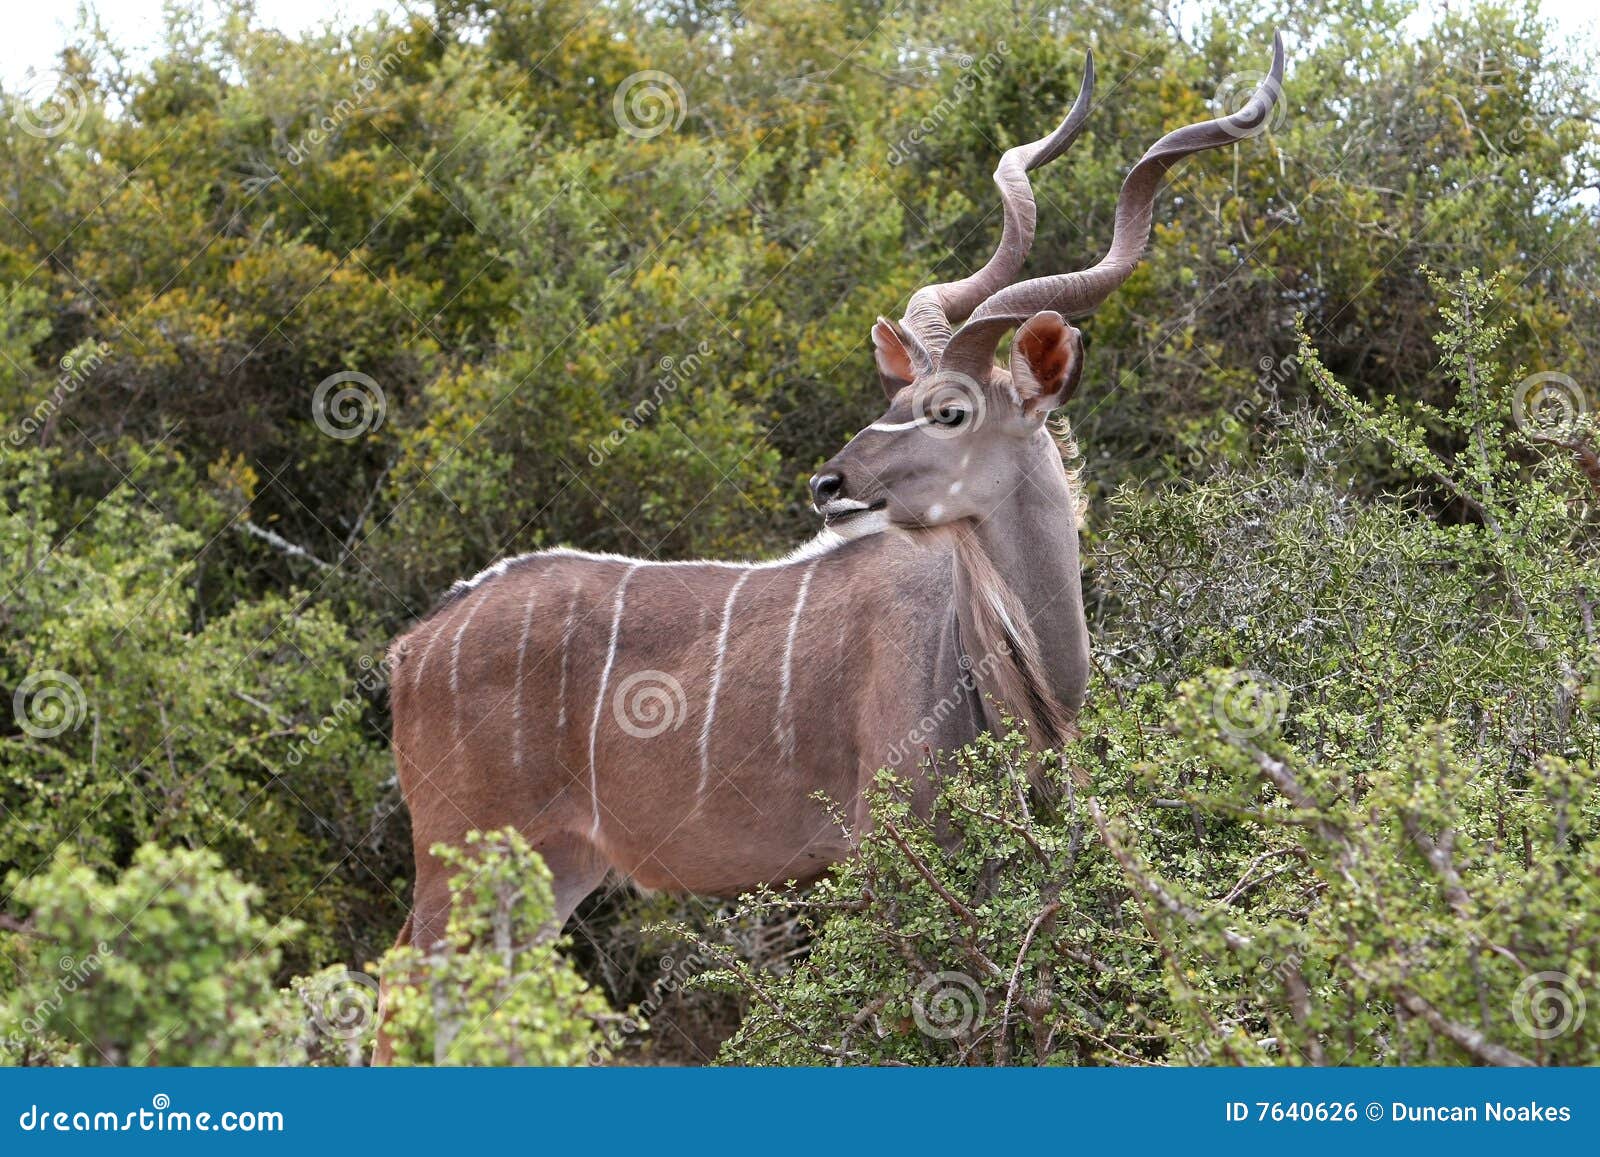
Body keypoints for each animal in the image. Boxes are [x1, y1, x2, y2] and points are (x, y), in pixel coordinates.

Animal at [377, 34, 1284, 1054]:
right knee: (401, 987)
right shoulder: (892, 852)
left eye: (947, 409)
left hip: (549, 869)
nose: (828, 484)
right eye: (894, 399)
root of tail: (414, 645)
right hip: (469, 856)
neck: (1008, 675)